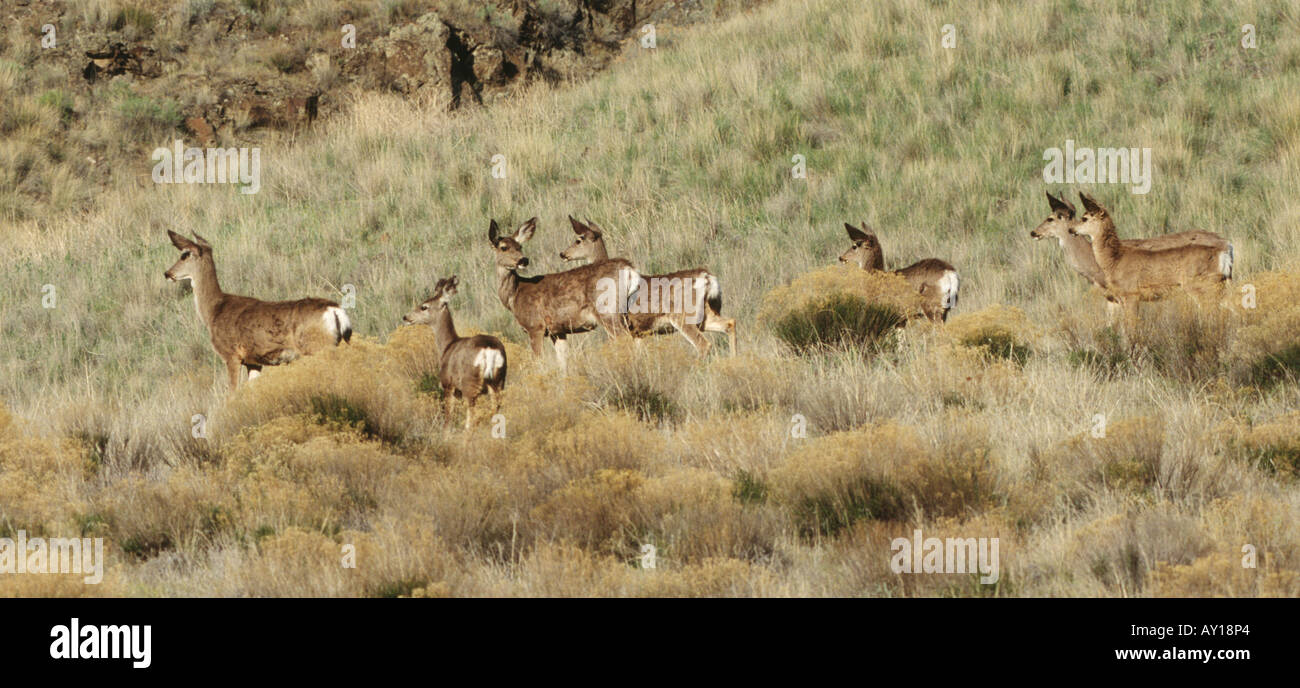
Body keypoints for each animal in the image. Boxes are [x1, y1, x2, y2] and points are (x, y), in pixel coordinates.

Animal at [163, 230, 351, 389]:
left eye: (184, 255)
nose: (167, 273)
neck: (213, 311)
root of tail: (335, 310)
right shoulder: (253, 361)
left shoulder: (231, 355)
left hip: (317, 346)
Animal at [402, 276, 506, 430]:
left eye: (424, 306)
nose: (406, 317)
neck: (447, 346)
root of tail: (489, 349)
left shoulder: (448, 385)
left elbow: (448, 420)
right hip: (499, 381)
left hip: (470, 384)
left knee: (470, 422)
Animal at [489, 217, 642, 371]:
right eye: (504, 247)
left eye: (519, 246)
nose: (523, 260)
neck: (514, 295)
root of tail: (630, 269)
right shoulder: (557, 331)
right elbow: (562, 362)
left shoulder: (535, 326)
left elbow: (538, 362)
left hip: (607, 311)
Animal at [559, 217, 737, 355]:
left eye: (578, 239)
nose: (563, 254)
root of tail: (708, 278)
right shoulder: (638, 333)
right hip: (706, 314)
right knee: (729, 323)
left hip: (683, 316)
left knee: (703, 344)